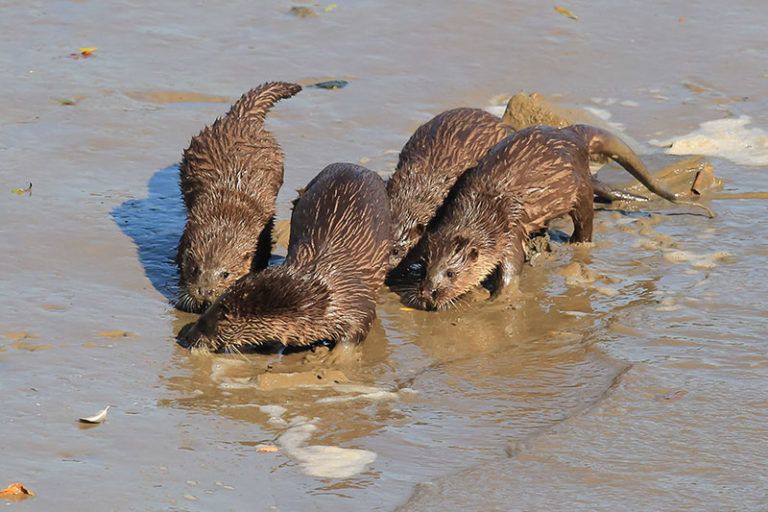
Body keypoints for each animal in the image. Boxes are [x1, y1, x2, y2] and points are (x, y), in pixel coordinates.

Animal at [177, 163, 391, 357]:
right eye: (204, 315)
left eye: (213, 324)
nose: (187, 336)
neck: (315, 301)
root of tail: (358, 167)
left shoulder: (355, 301)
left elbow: (355, 332)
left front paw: (335, 357)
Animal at [397, 124, 714, 311]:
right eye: (426, 269)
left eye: (451, 273)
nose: (429, 293)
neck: (483, 209)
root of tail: (571, 134)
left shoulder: (509, 229)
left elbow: (511, 266)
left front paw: (499, 298)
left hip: (580, 187)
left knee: (585, 219)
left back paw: (576, 243)